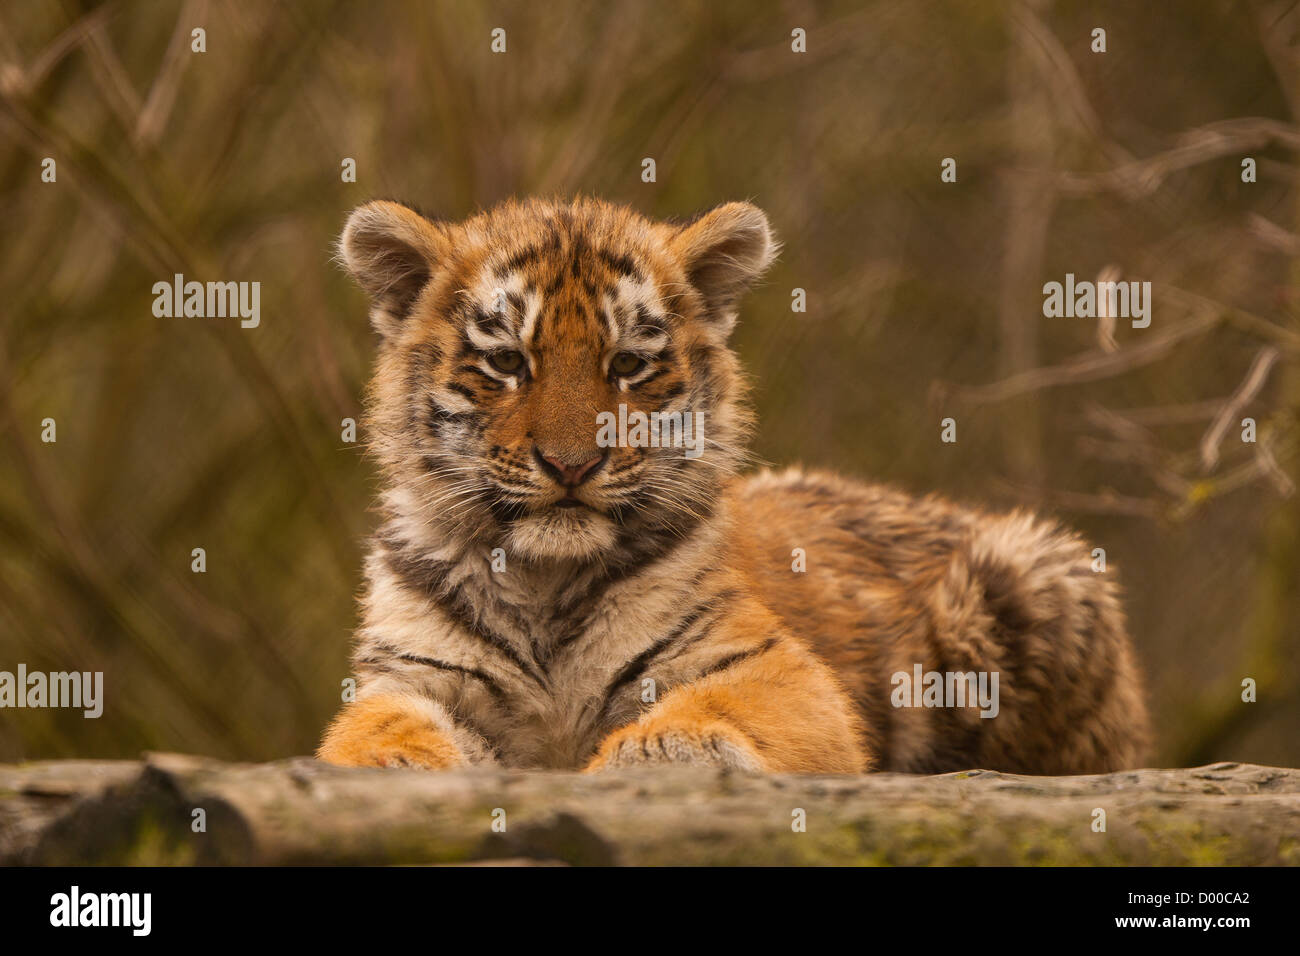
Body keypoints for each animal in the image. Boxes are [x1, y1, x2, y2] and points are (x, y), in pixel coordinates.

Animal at [317, 196, 1150, 775]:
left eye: (628, 365)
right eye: (507, 363)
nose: (572, 465)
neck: (544, 581)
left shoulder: (769, 665)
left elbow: (713, 707)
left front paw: (657, 757)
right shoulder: (405, 678)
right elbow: (374, 728)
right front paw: (392, 767)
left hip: (1029, 580)